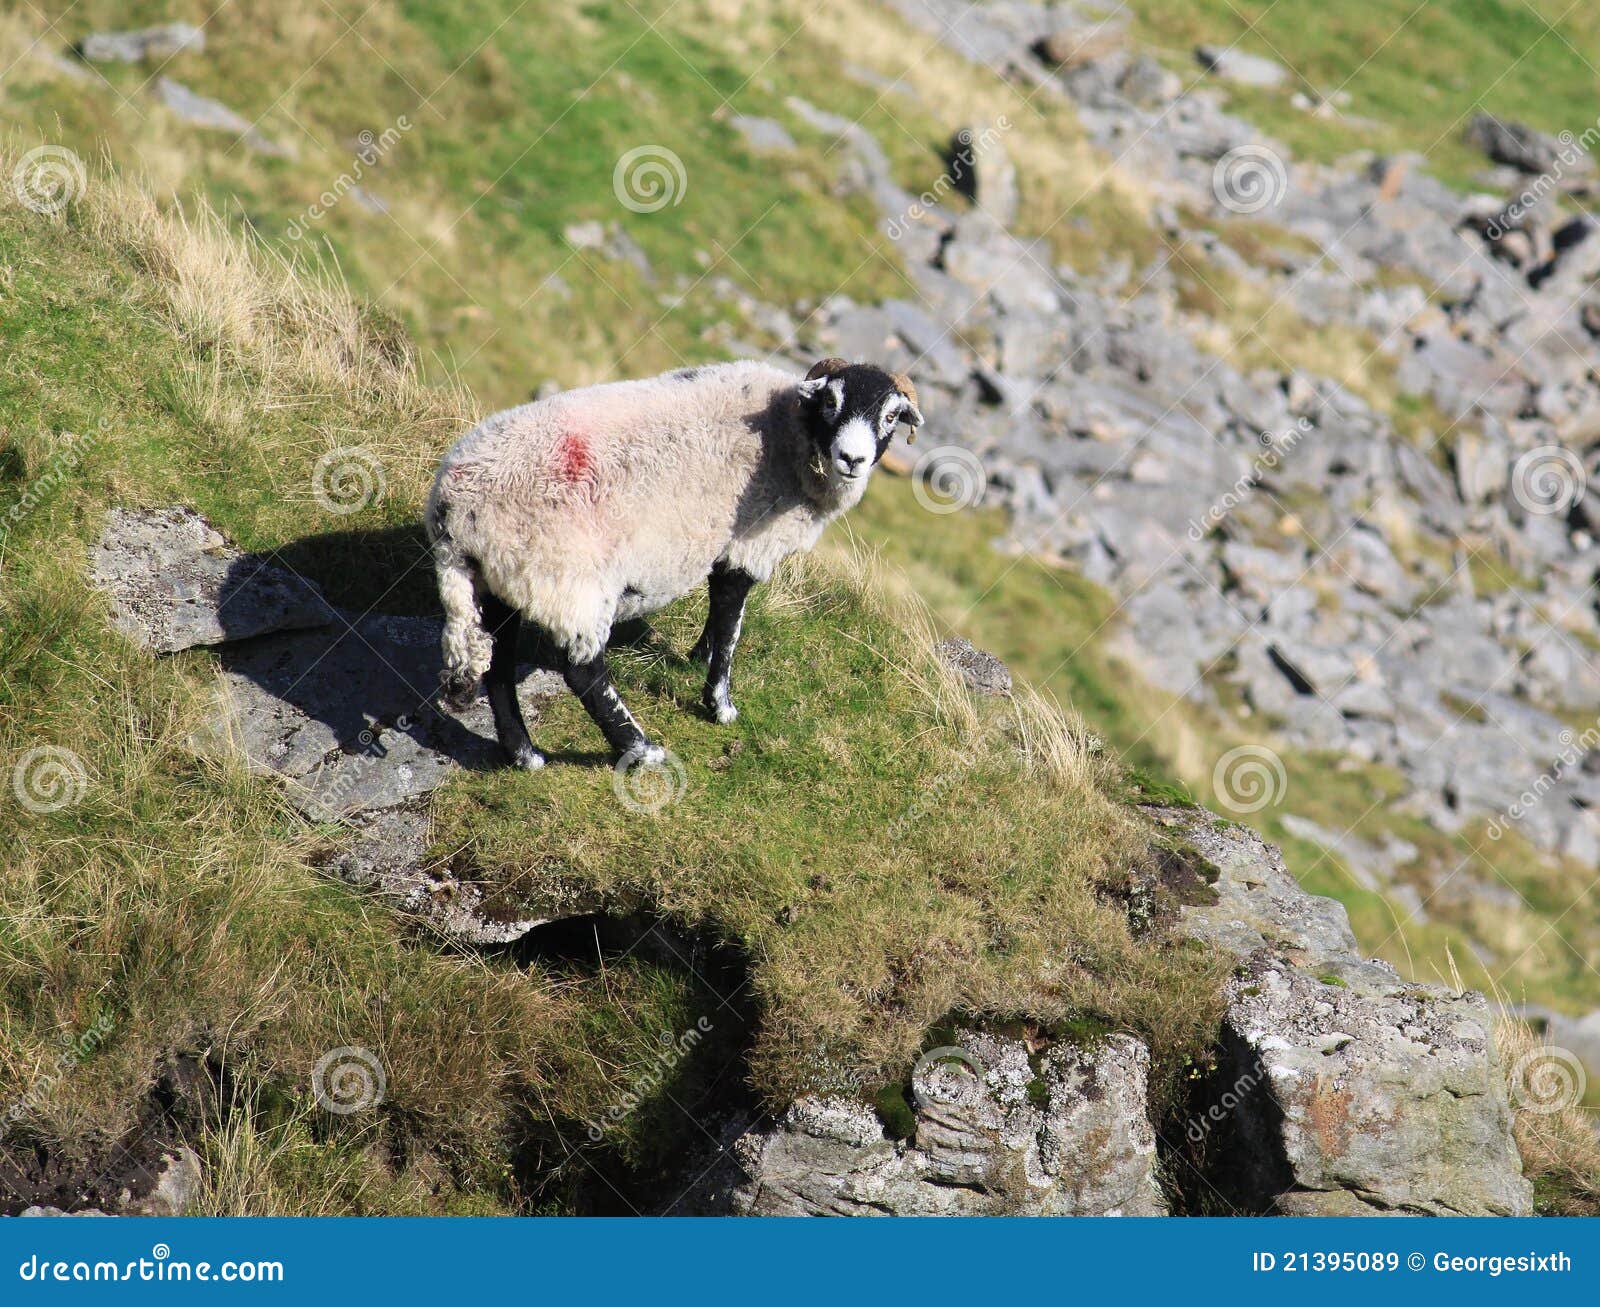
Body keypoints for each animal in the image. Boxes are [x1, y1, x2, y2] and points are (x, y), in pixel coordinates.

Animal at [426, 356, 924, 769]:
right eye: (831, 402)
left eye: (890, 416)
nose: (853, 459)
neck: (790, 432)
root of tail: (453, 510)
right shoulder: (747, 546)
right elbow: (731, 626)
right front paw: (720, 704)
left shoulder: (722, 545)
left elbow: (717, 612)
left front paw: (696, 656)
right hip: (568, 578)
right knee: (581, 671)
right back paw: (641, 750)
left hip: (506, 578)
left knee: (500, 665)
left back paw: (525, 755)